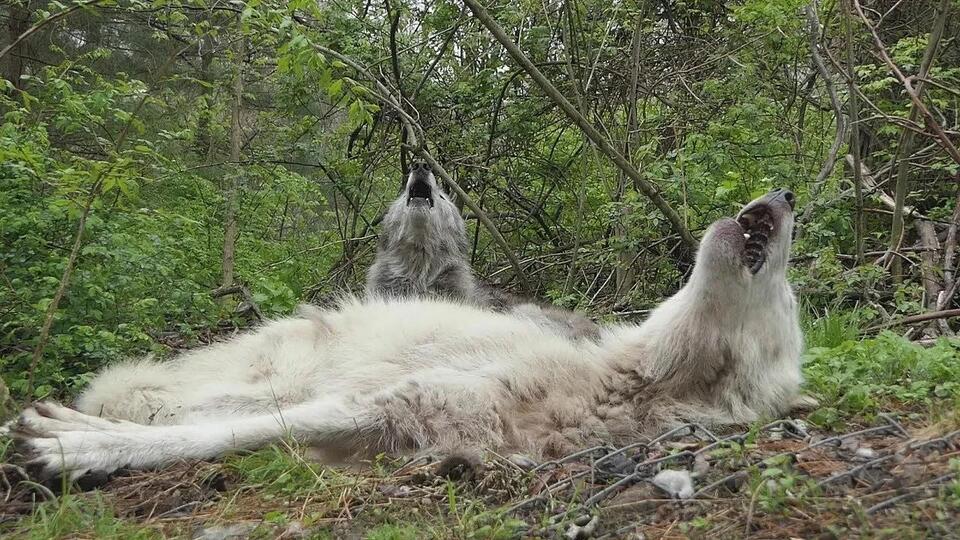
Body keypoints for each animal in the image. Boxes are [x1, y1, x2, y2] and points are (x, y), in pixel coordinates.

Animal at [14, 189, 805, 481]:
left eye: (790, 307)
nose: (785, 194)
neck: (623, 384)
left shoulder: (397, 415)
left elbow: (235, 435)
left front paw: (72, 447)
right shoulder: (384, 396)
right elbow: (223, 432)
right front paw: (72, 442)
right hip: (275, 366)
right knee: (174, 398)